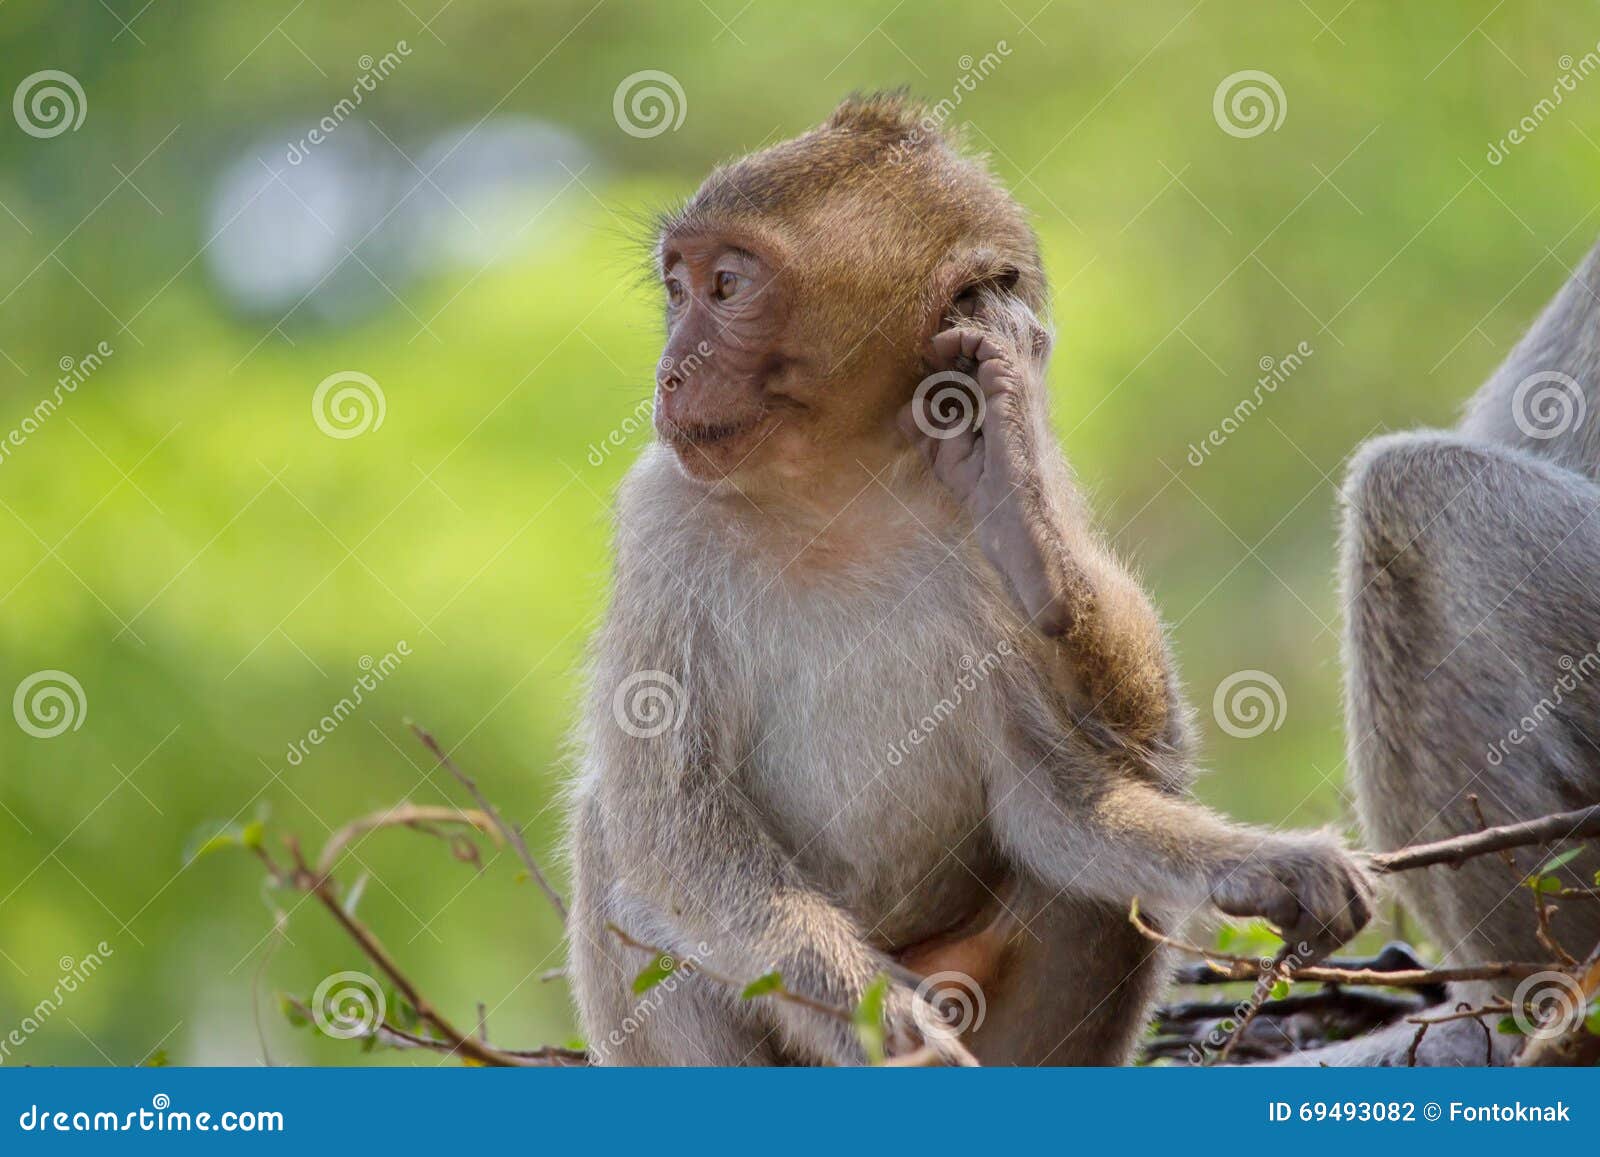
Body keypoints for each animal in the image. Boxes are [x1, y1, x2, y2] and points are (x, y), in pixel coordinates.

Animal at [566, 93, 1373, 1067]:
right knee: (622, 856)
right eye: (677, 288)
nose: (671, 371)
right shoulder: (661, 522)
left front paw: (1264, 863)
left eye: (727, 286)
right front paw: (893, 1020)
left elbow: (1072, 793)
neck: (838, 489)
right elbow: (673, 838)